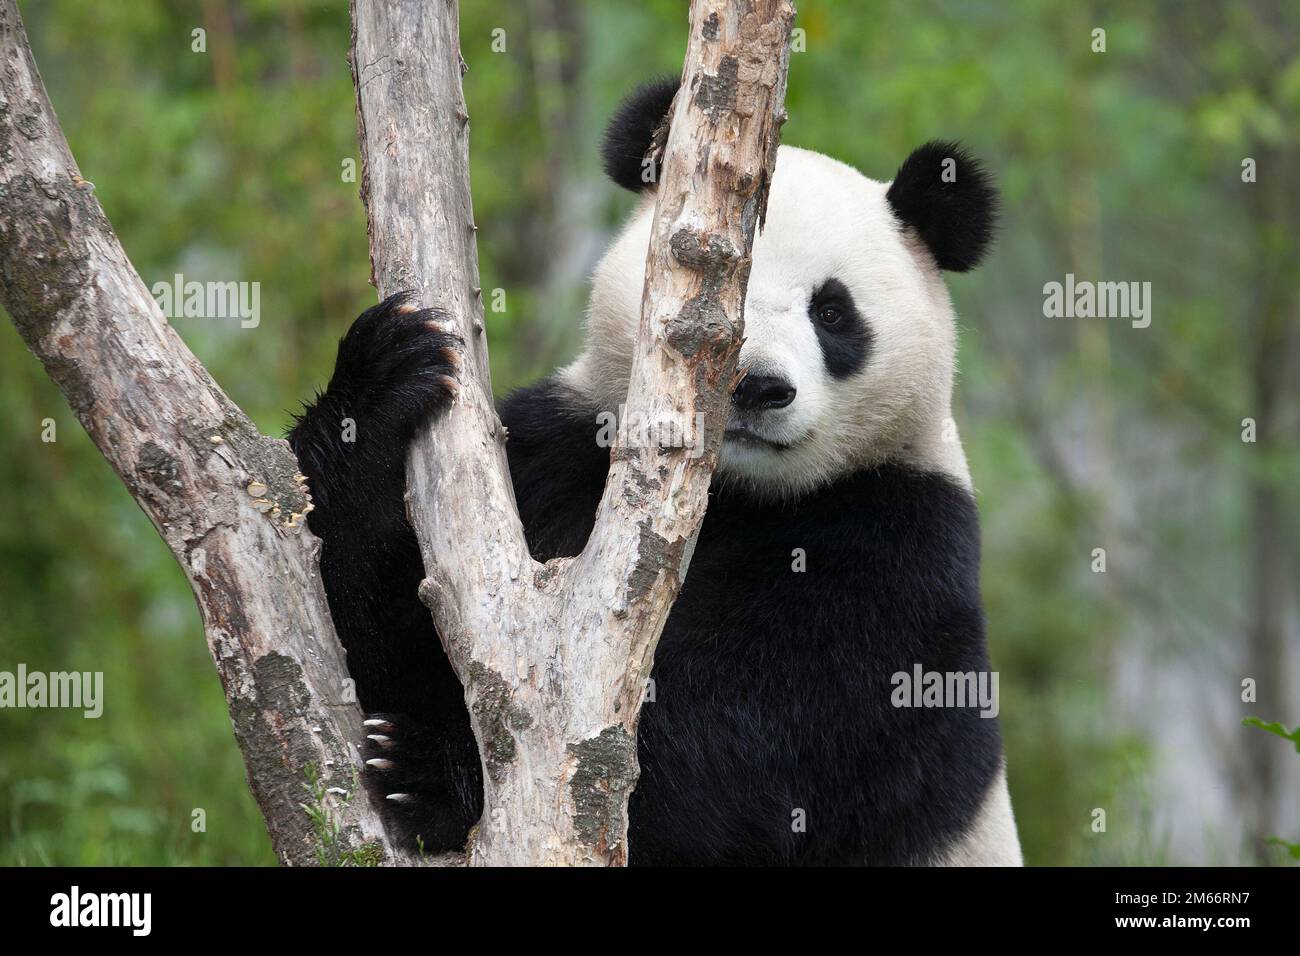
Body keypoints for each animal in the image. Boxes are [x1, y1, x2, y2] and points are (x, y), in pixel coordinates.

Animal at [289, 78, 1023, 866]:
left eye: (832, 312)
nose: (757, 387)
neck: (737, 495)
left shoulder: (900, 549)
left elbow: (738, 756)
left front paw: (435, 775)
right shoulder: (559, 452)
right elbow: (361, 636)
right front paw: (389, 371)